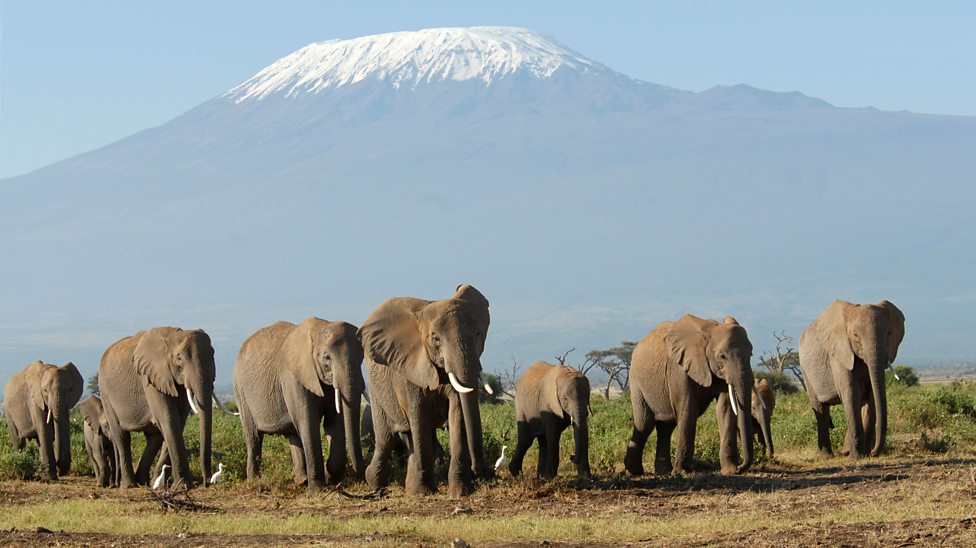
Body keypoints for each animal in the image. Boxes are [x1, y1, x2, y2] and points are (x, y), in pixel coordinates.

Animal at [99, 327, 233, 489]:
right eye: (179, 359)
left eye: (212, 355)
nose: (206, 482)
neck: (173, 336)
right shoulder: (150, 377)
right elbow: (169, 419)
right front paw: (183, 486)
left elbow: (179, 421)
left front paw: (168, 484)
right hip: (105, 393)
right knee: (121, 435)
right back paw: (130, 485)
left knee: (154, 438)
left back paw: (144, 482)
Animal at [234, 317, 365, 491]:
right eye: (327, 358)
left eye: (362, 357)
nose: (361, 477)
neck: (320, 328)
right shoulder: (293, 377)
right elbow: (308, 422)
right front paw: (319, 490)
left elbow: (334, 421)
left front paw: (331, 478)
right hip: (241, 392)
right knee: (253, 436)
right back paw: (254, 482)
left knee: (293, 434)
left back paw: (302, 481)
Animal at [360, 284, 490, 497]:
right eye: (436, 339)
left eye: (479, 334)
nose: (477, 471)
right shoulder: (409, 369)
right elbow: (418, 412)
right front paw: (423, 493)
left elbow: (457, 413)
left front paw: (460, 492)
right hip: (376, 389)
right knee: (386, 439)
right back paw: (376, 485)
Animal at [625, 315, 755, 476]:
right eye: (722, 356)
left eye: (751, 354)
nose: (740, 468)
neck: (710, 331)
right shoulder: (679, 370)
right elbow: (688, 410)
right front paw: (682, 472)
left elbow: (725, 410)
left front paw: (729, 471)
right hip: (636, 380)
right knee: (645, 424)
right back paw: (635, 471)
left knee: (666, 426)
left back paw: (663, 472)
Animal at [799, 300, 905, 458]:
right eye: (855, 335)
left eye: (889, 333)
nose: (874, 452)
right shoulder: (839, 355)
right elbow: (851, 394)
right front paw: (856, 457)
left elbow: (871, 397)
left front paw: (864, 454)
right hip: (805, 370)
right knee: (820, 408)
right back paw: (827, 456)